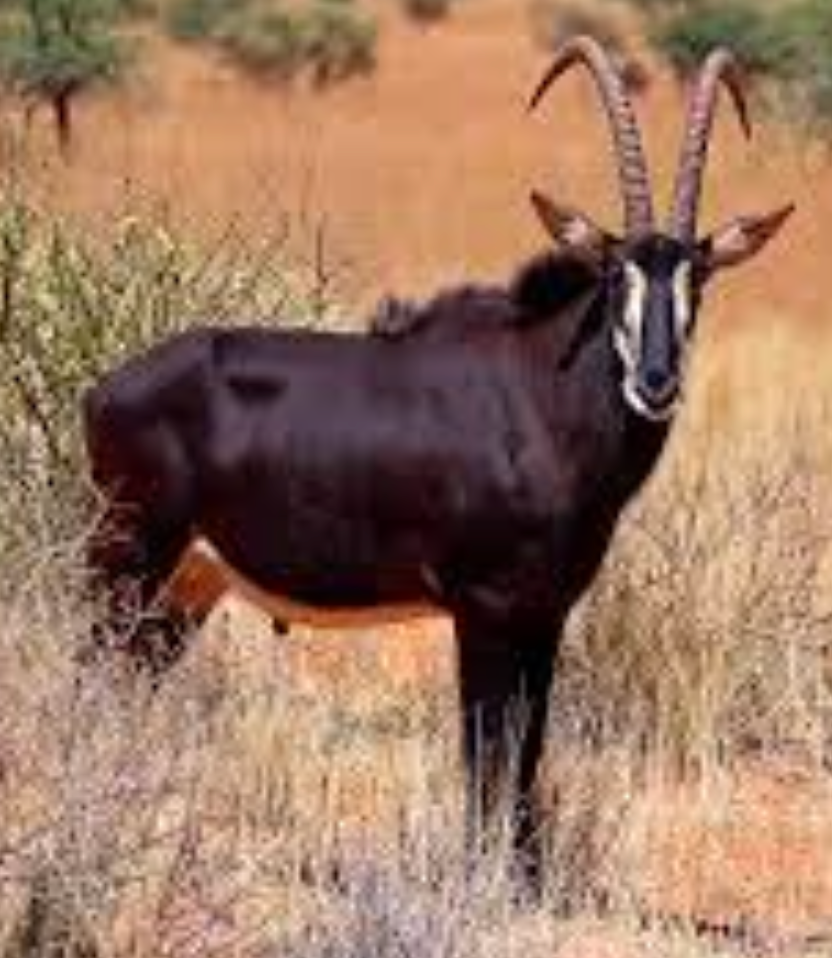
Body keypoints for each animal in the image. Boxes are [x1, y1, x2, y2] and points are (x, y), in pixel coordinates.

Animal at [82, 38, 792, 890]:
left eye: (697, 278)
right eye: (616, 272)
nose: (655, 382)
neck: (541, 396)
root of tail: (104, 388)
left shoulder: (543, 614)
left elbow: (527, 748)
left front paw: (526, 880)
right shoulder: (483, 609)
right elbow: (486, 749)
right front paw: (484, 879)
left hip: (186, 584)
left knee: (131, 681)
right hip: (126, 559)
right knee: (93, 673)